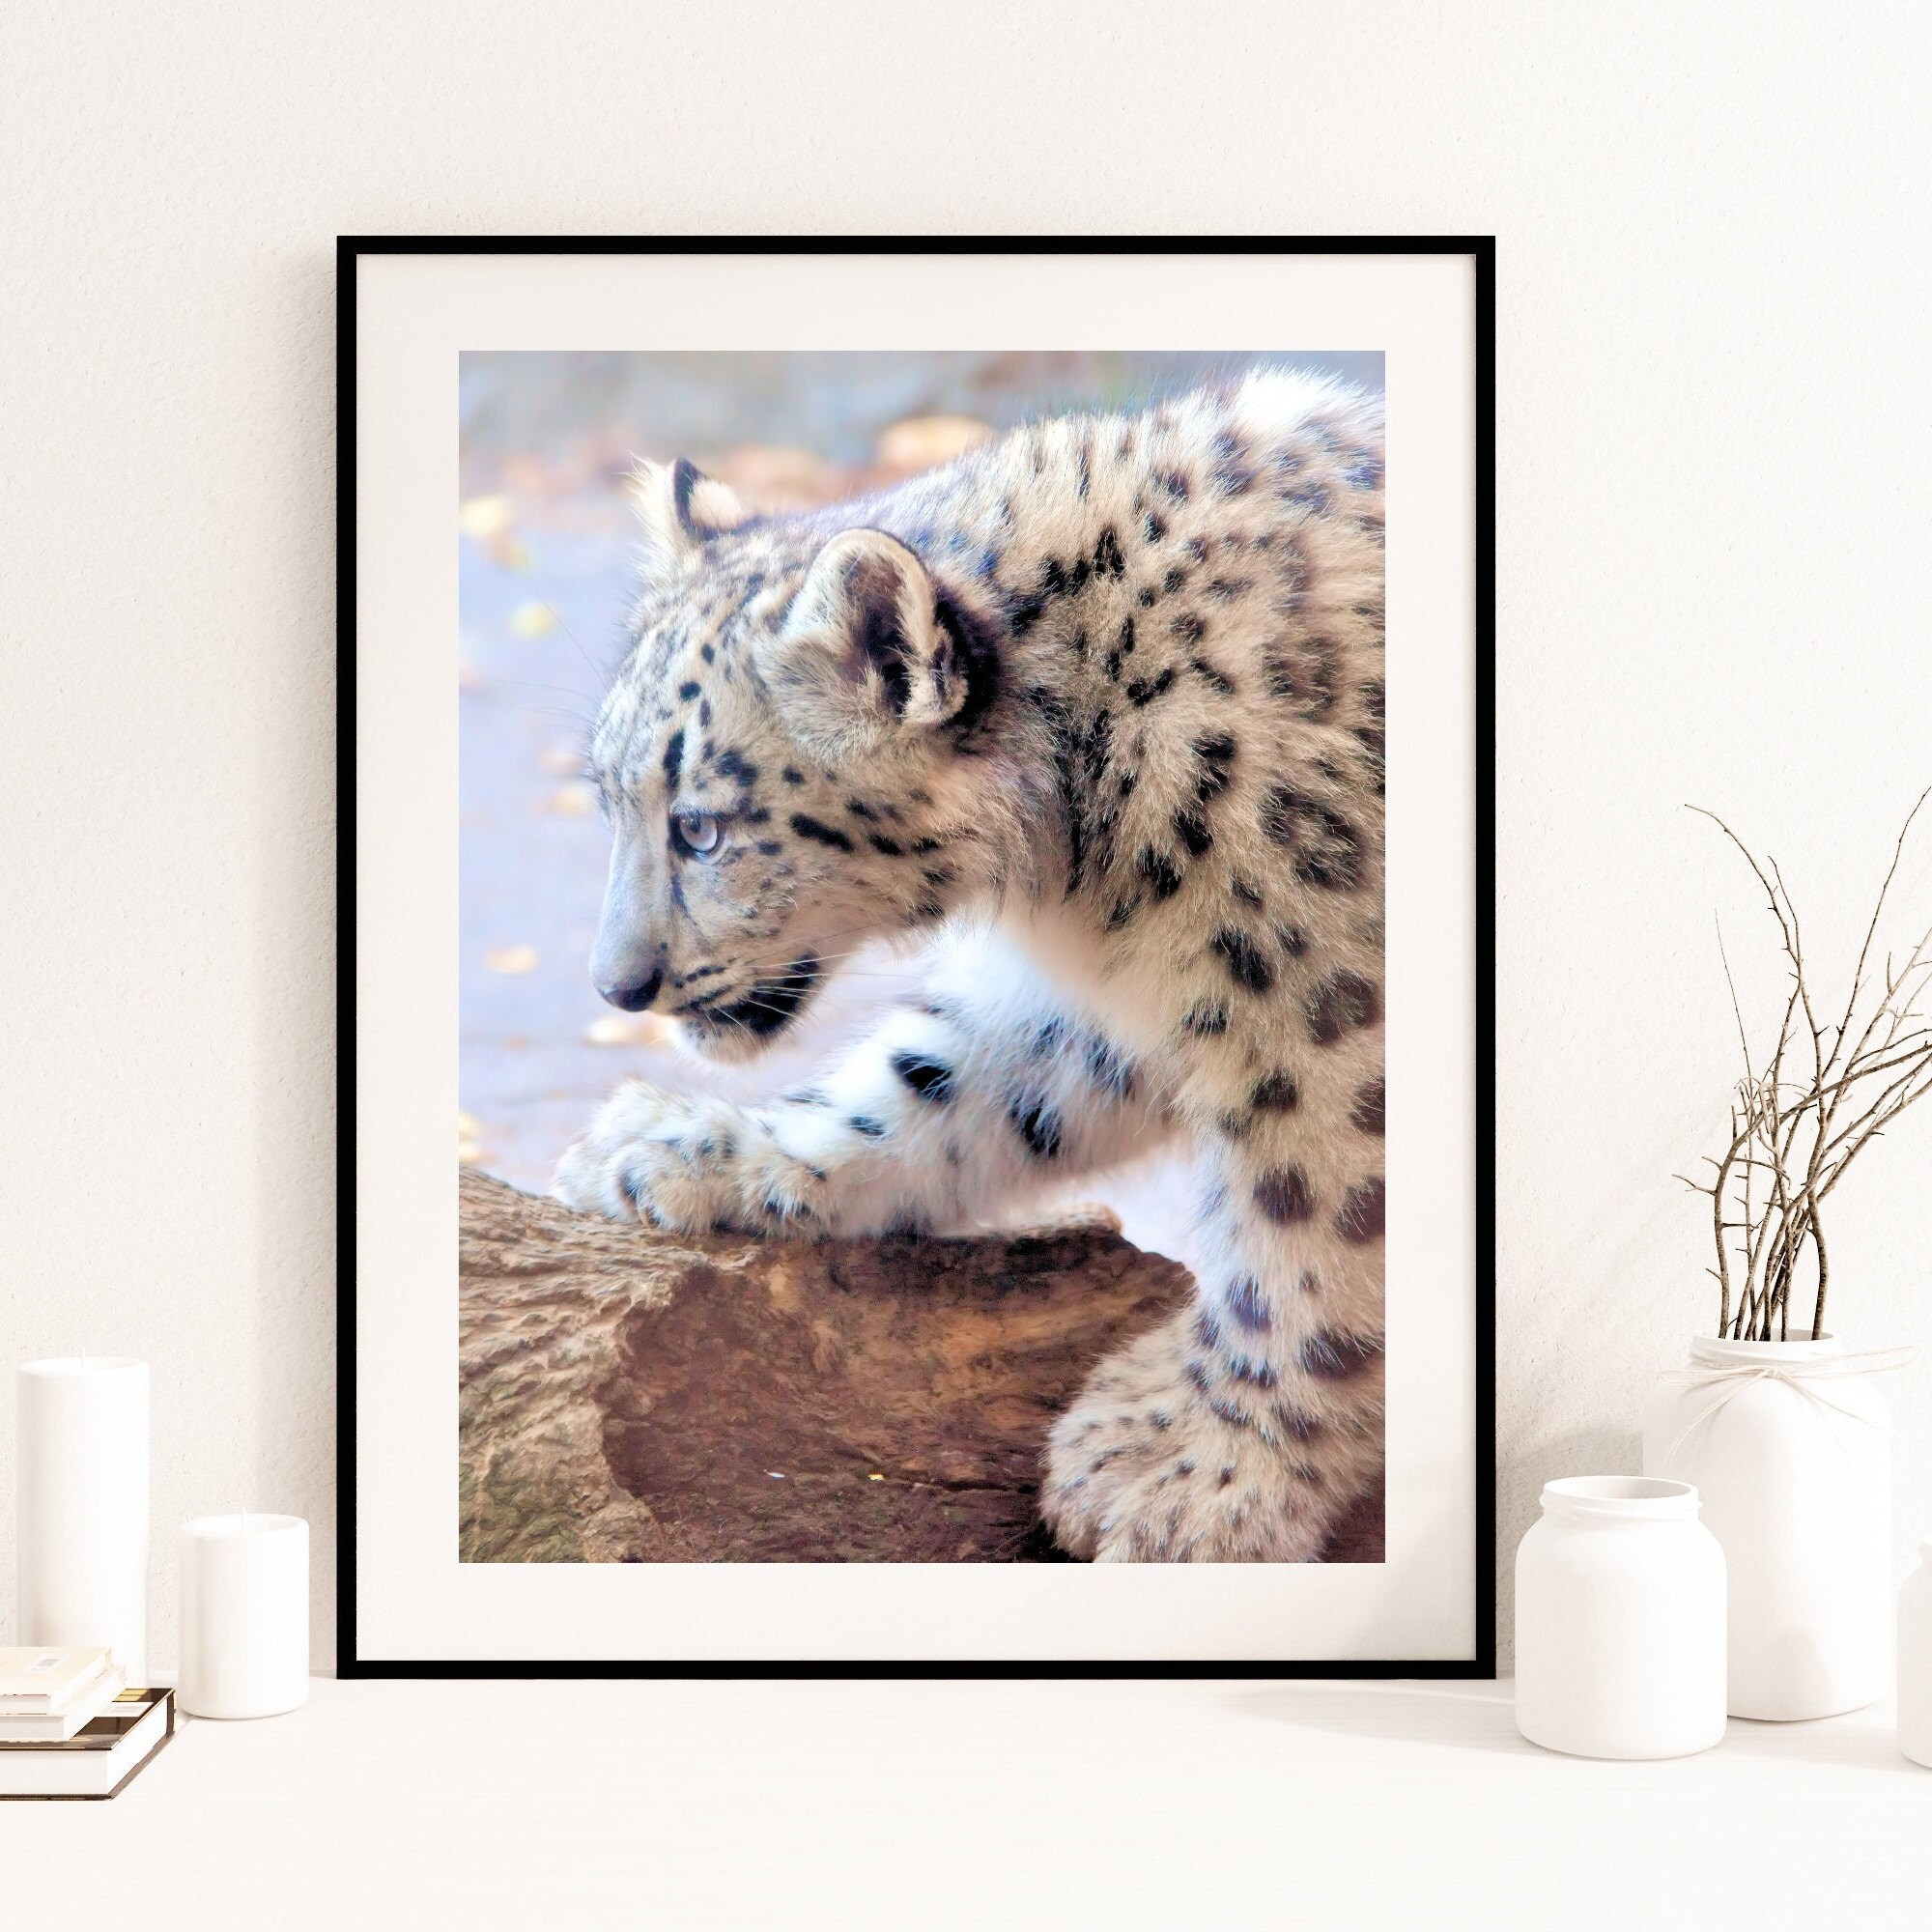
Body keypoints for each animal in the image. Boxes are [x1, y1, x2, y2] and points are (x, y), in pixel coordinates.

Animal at [552, 366, 1387, 1563]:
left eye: (702, 827)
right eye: (611, 797)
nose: (616, 986)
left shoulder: (1323, 1002)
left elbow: (1314, 1214)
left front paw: (1201, 1472)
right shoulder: (1123, 989)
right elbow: (941, 1077)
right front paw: (678, 1148)